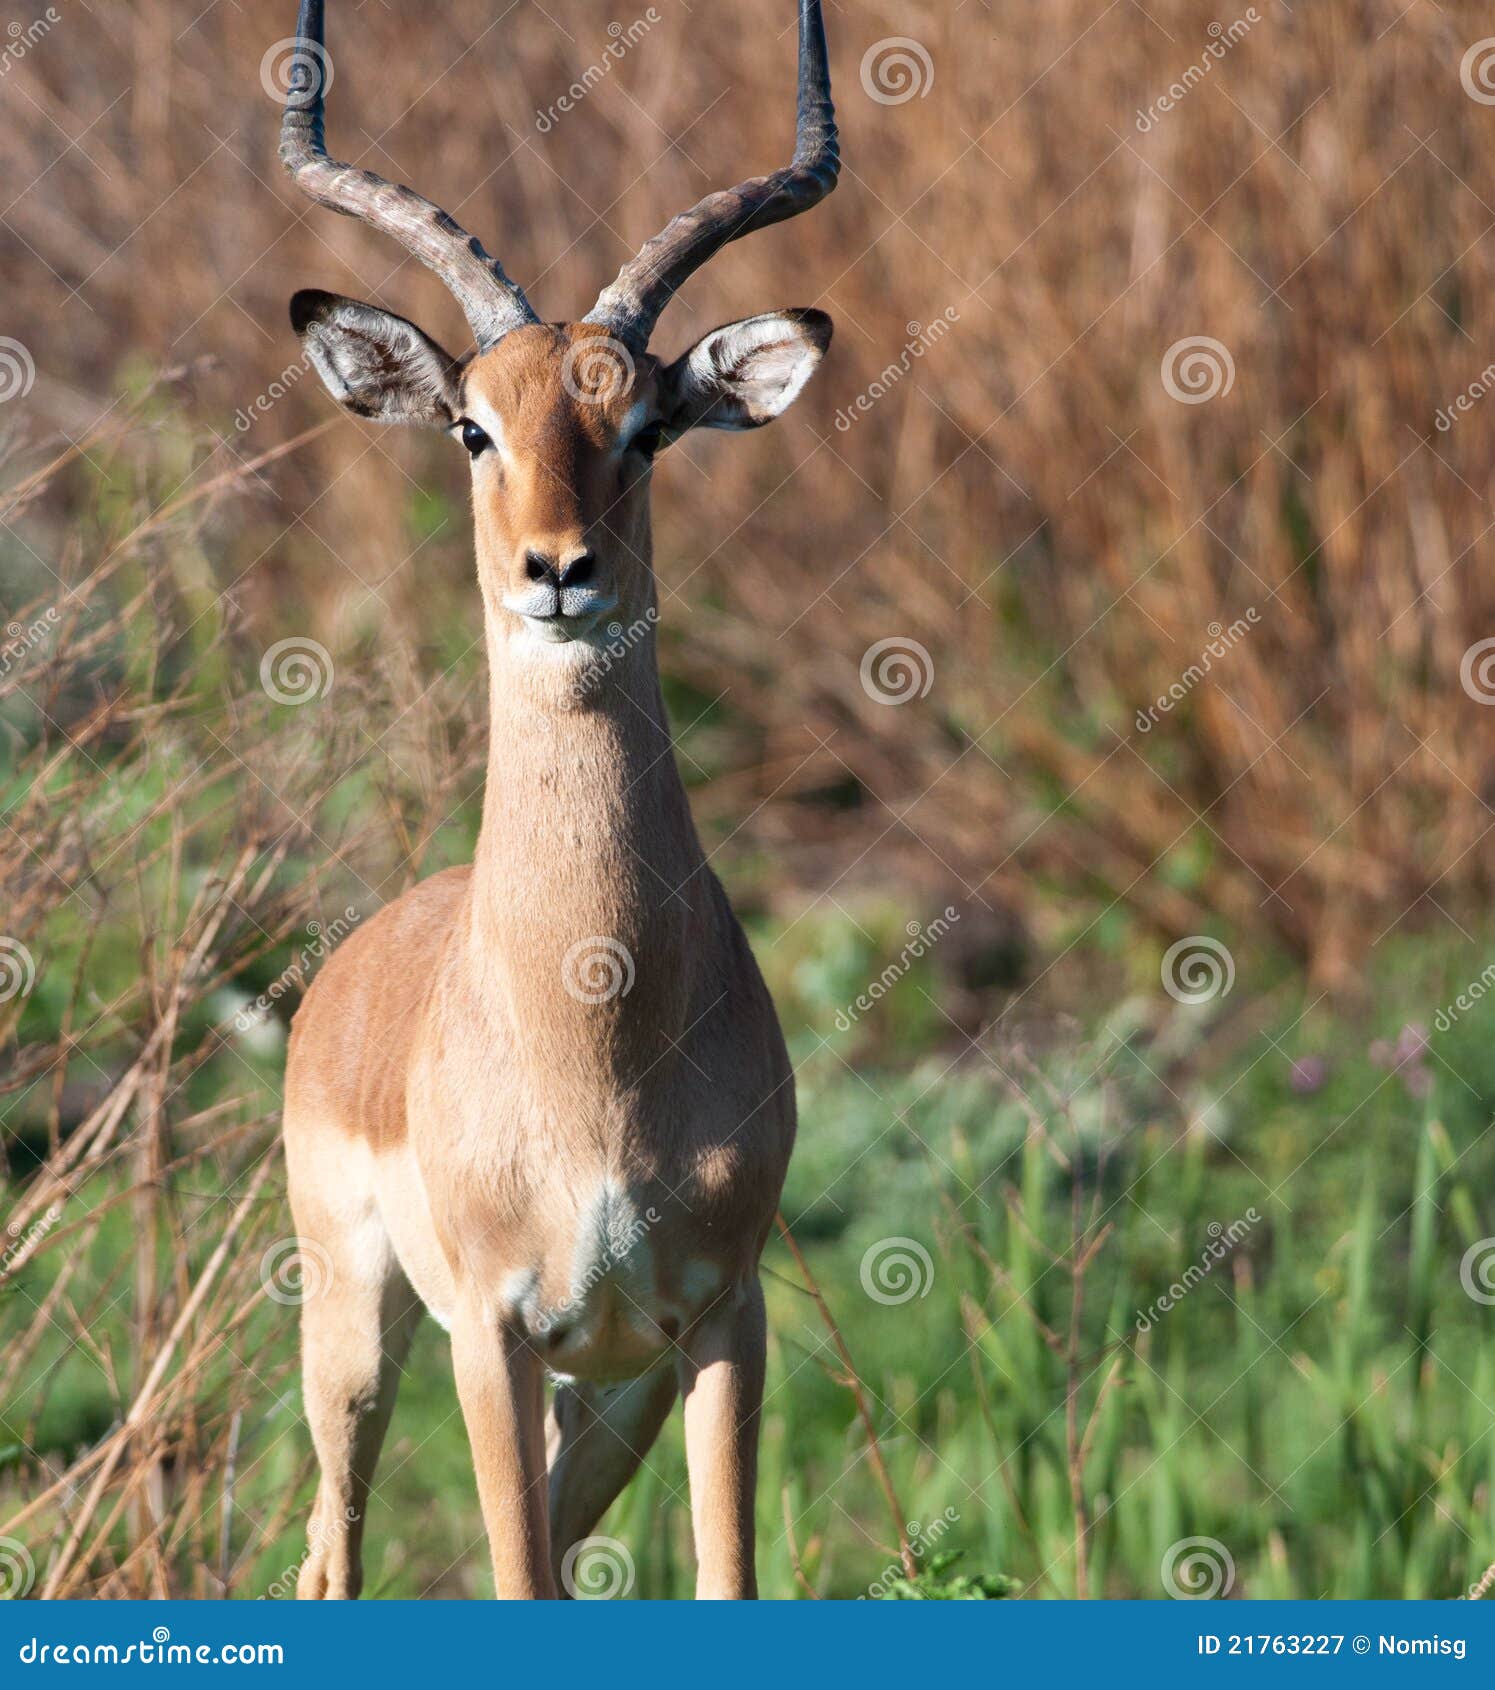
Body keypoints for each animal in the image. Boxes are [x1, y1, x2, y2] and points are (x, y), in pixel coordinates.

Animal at [276, 0, 838, 1599]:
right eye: (472, 425)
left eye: (647, 423)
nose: (558, 569)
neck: (590, 1030)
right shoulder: (494, 1327)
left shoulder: (716, 1320)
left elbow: (723, 1579)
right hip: (358, 1334)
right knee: (328, 1558)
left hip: (606, 1394)